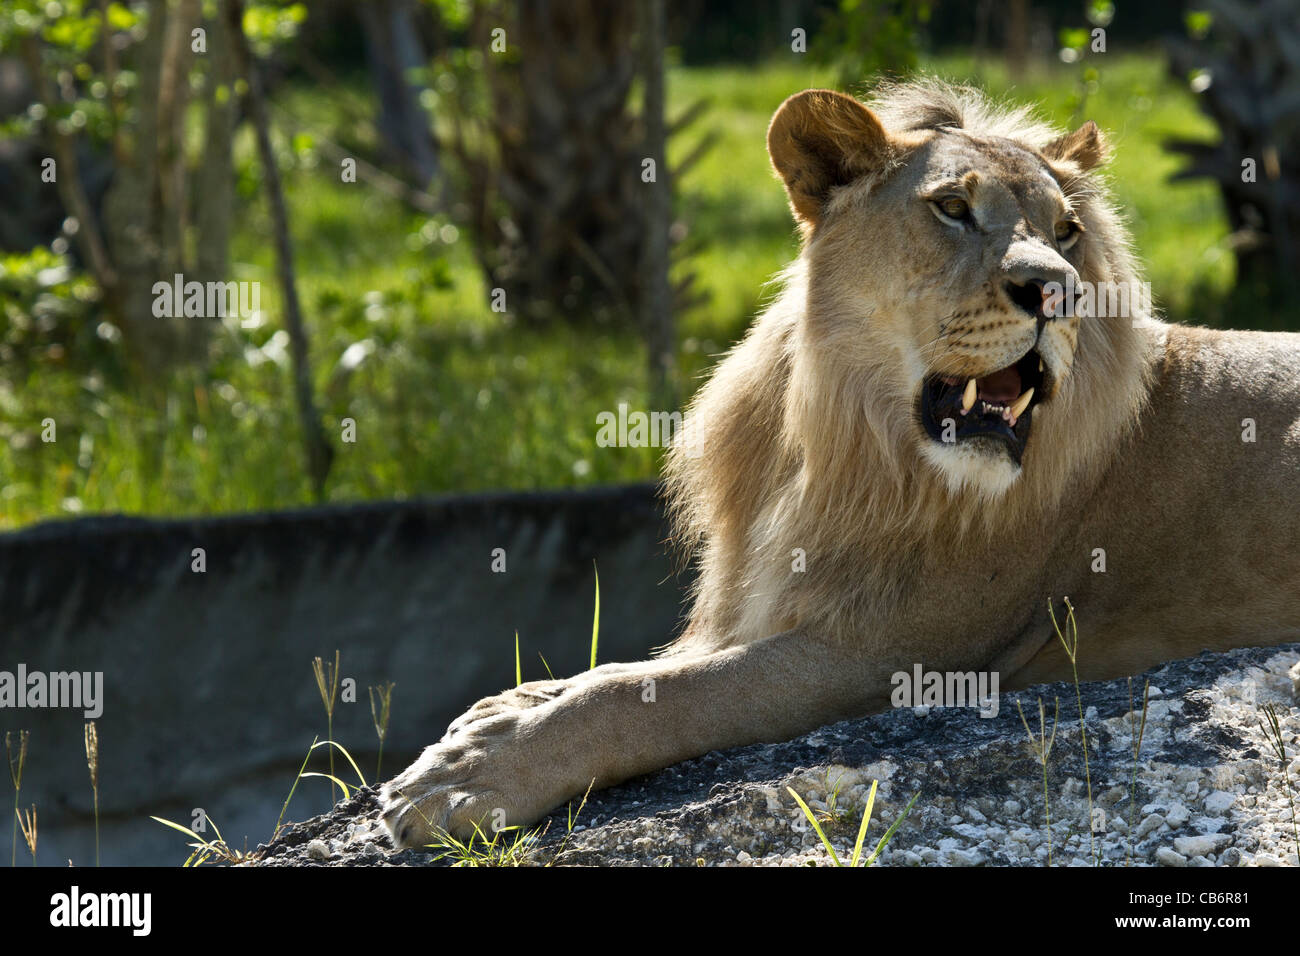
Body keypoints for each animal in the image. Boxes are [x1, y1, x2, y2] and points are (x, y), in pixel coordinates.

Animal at [381, 78, 1300, 847]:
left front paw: (474, 771)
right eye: (953, 208)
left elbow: (665, 694)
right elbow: (633, 666)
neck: (842, 443)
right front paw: (505, 706)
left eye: (1068, 232)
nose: (1059, 289)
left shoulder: (893, 654)